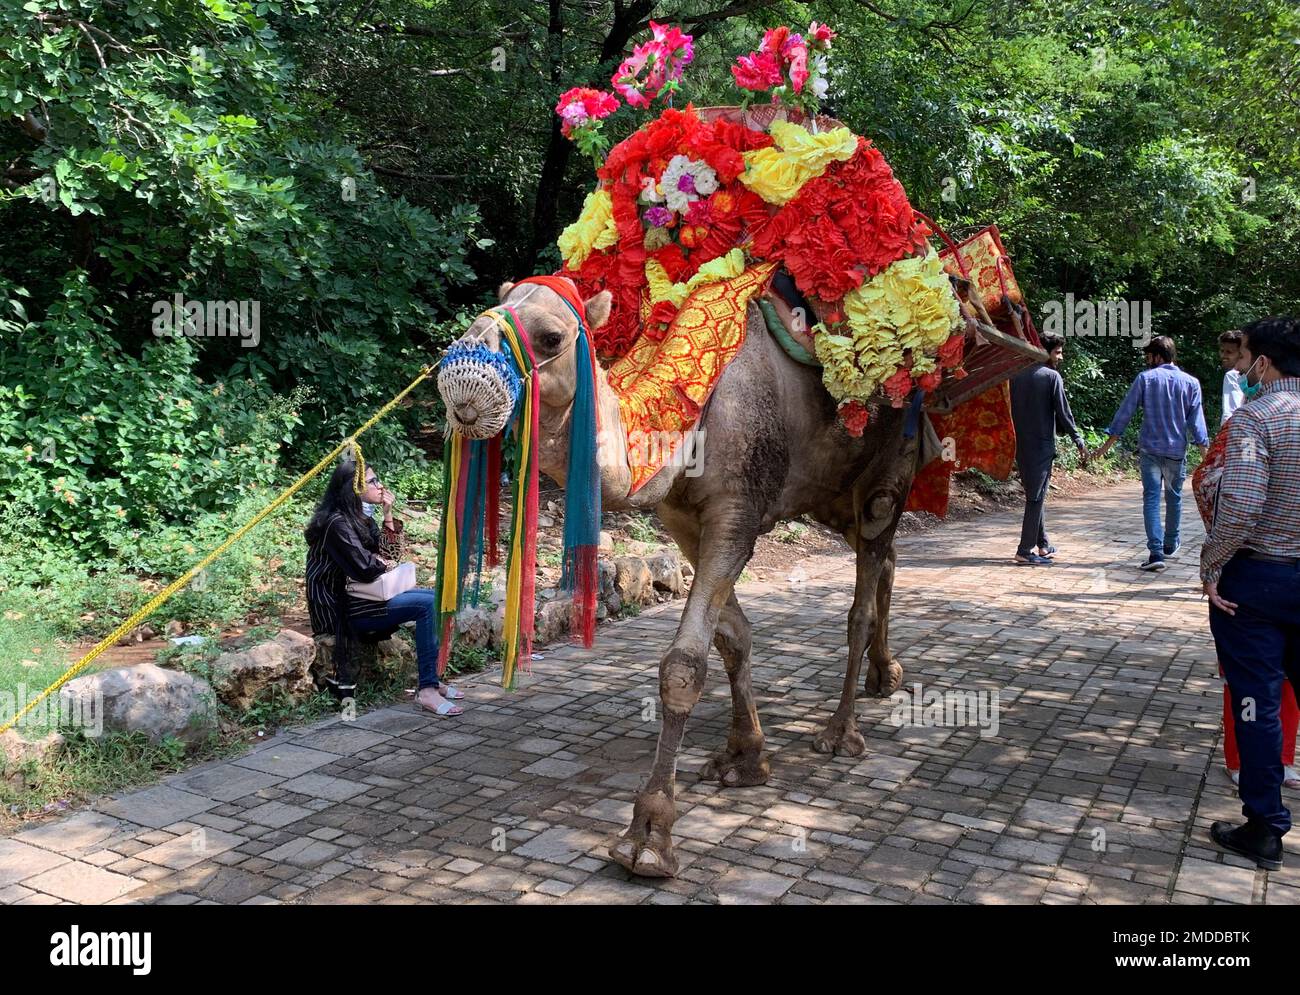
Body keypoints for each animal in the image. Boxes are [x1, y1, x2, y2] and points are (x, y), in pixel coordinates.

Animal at [441, 278, 922, 878]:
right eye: (495, 305)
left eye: (551, 335)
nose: (460, 365)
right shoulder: (680, 516)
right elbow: (733, 637)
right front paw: (745, 758)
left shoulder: (736, 511)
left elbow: (683, 665)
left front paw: (648, 837)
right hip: (830, 494)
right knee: (887, 558)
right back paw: (886, 674)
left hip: (890, 465)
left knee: (863, 592)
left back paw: (841, 733)